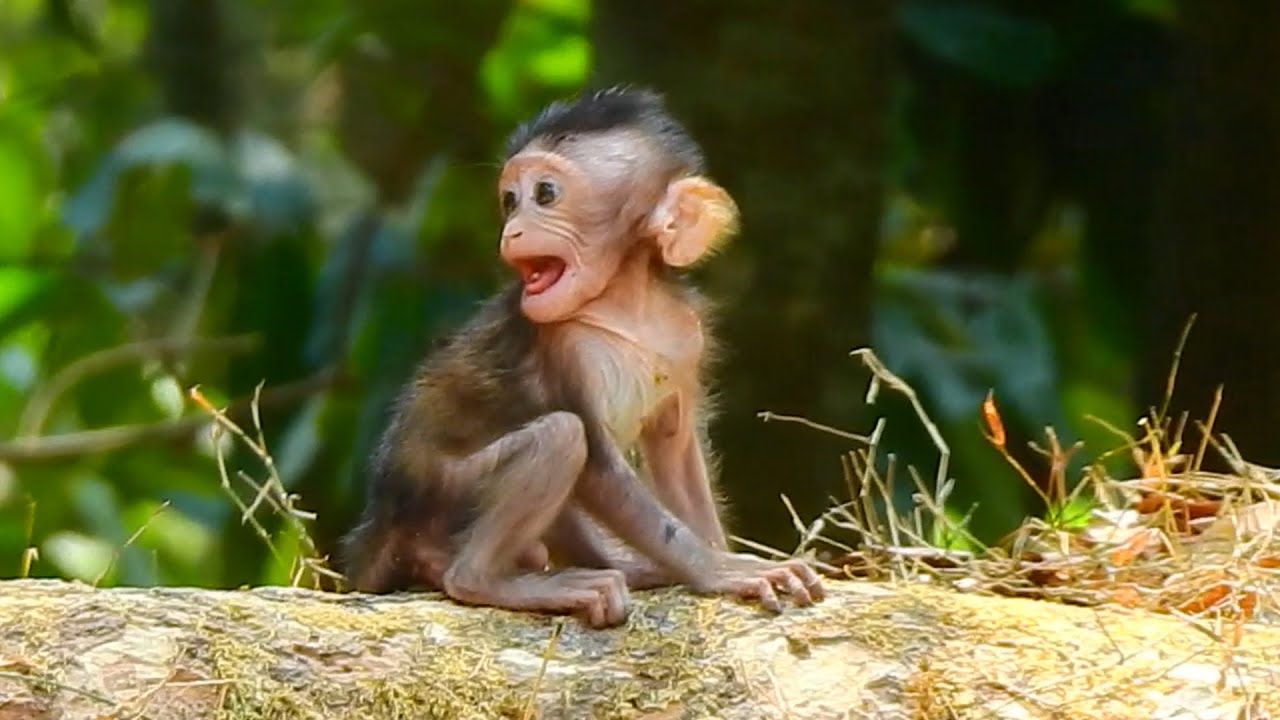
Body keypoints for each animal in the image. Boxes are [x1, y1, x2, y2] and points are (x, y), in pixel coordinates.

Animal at [340, 87, 825, 628]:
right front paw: (723, 570)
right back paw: (487, 580)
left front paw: (716, 557)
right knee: (561, 435)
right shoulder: (562, 344)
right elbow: (600, 468)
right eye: (510, 201)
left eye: (545, 194)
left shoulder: (686, 333)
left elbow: (675, 445)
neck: (624, 303)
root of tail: (378, 527)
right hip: (445, 496)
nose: (512, 230)